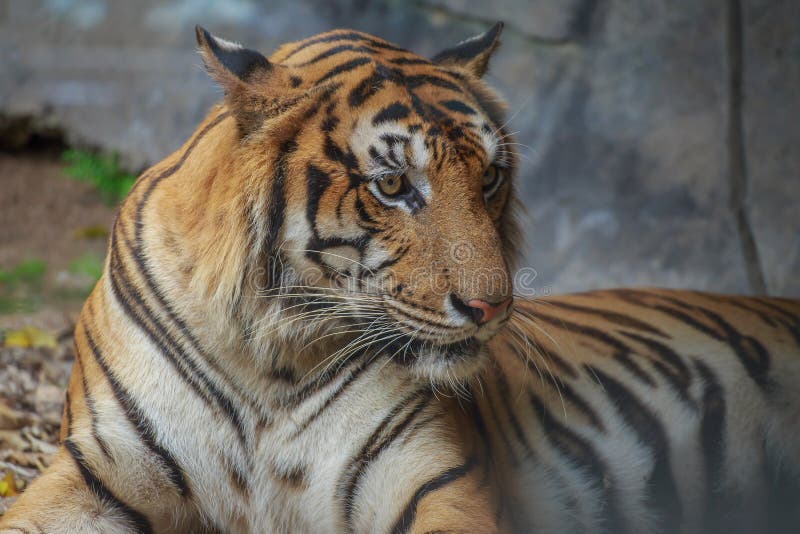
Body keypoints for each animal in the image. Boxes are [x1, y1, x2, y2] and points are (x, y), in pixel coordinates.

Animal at [1, 22, 799, 534]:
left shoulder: (429, 478)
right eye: (392, 186)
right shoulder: (101, 469)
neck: (269, 357)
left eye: (491, 178)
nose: (491, 307)